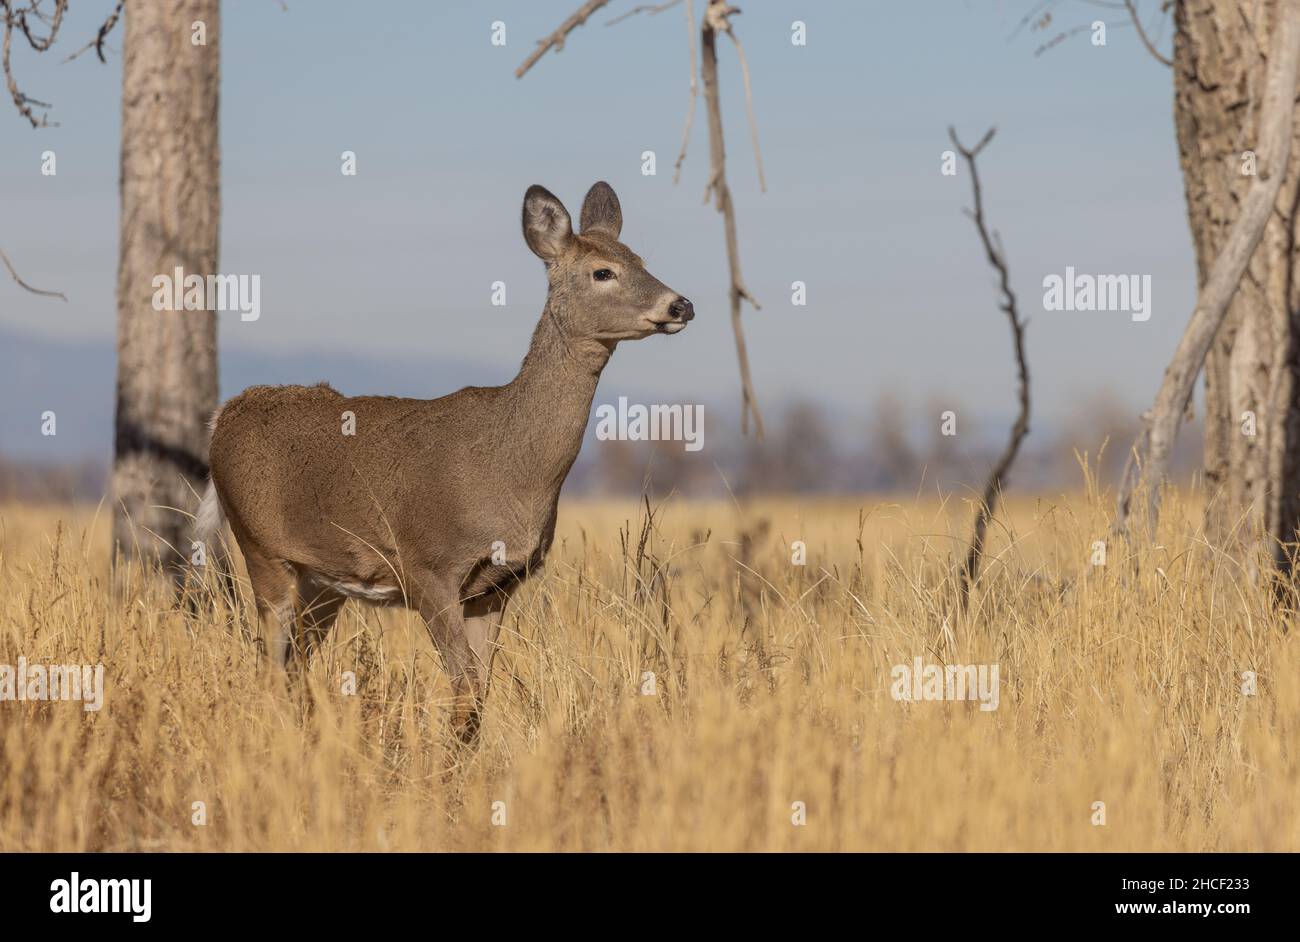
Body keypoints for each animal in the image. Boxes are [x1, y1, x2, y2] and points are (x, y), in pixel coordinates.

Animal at [195, 181, 693, 743]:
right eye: (603, 271)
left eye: (641, 259)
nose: (682, 305)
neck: (511, 469)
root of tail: (223, 417)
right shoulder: (429, 566)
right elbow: (464, 693)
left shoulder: (496, 587)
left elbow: (477, 700)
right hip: (260, 546)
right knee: (268, 665)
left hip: (322, 579)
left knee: (295, 666)